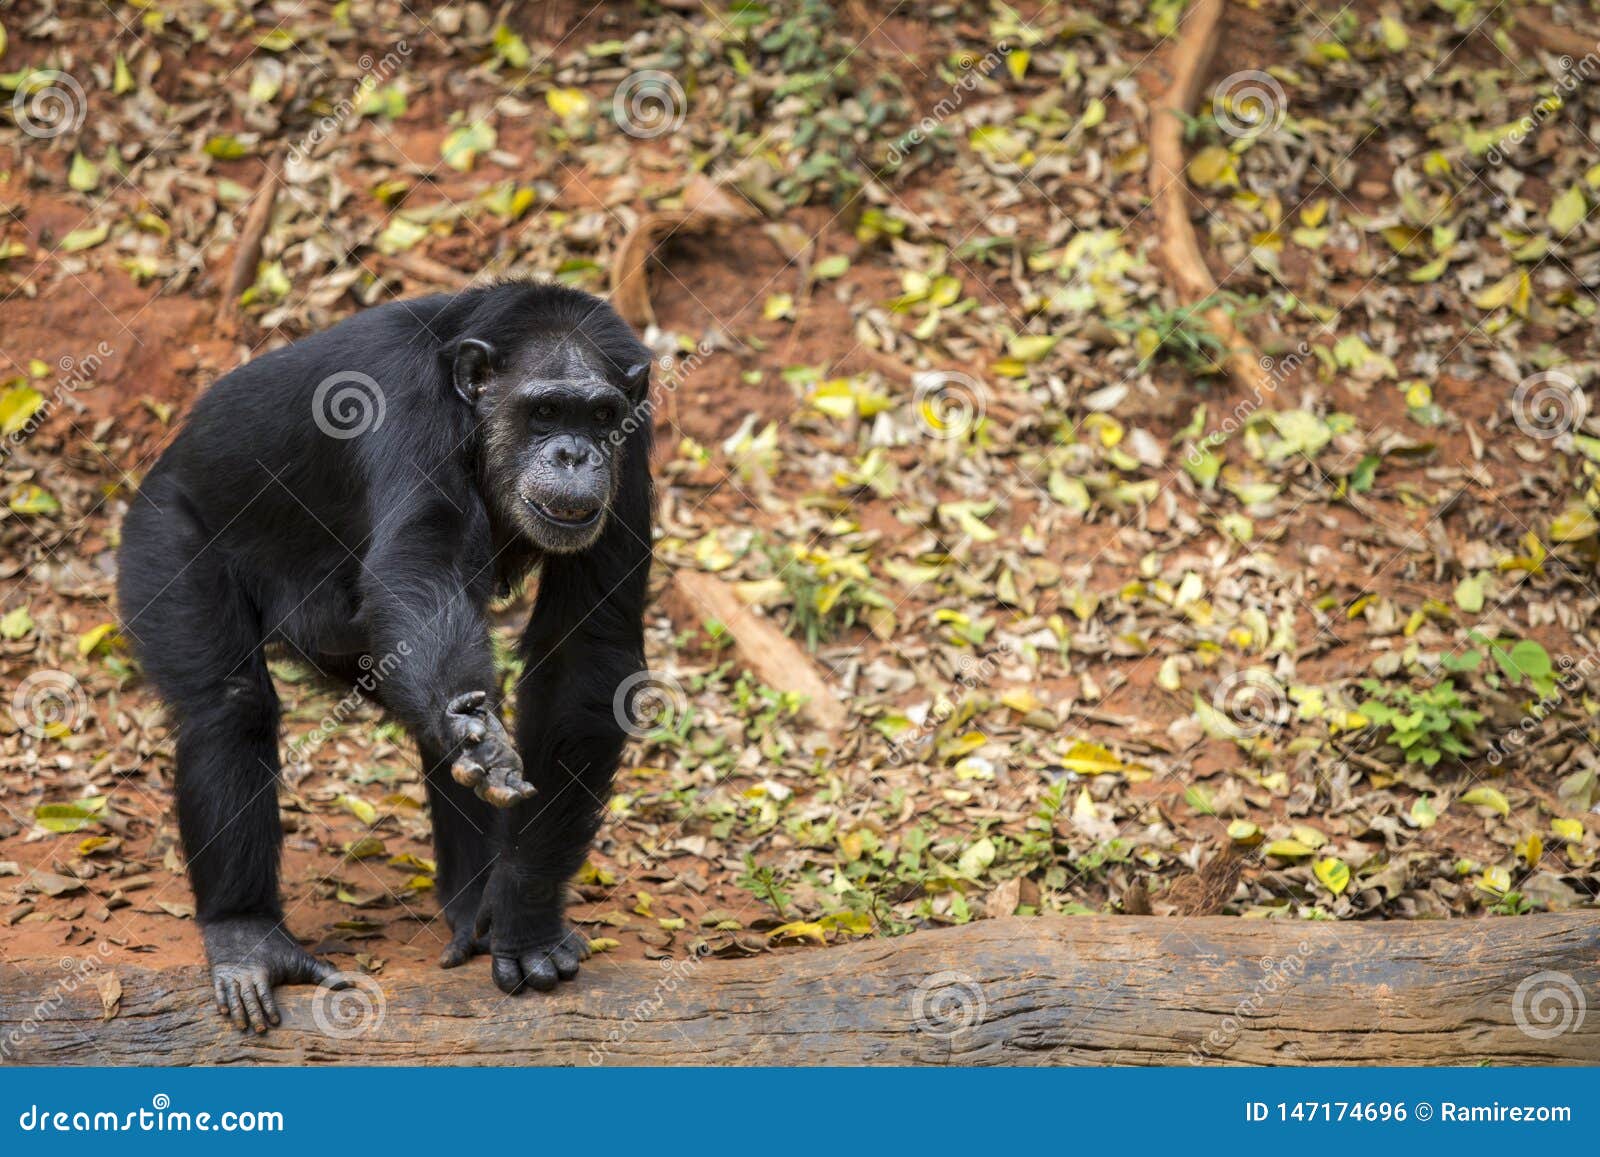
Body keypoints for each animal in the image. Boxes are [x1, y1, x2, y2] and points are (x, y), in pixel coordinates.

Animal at [117, 282, 654, 1031]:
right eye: (545, 410)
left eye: (601, 416)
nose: (576, 453)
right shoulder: (405, 405)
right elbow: (421, 563)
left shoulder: (636, 443)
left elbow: (586, 650)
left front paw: (526, 915)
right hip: (162, 535)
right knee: (226, 707)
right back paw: (245, 934)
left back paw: (474, 903)